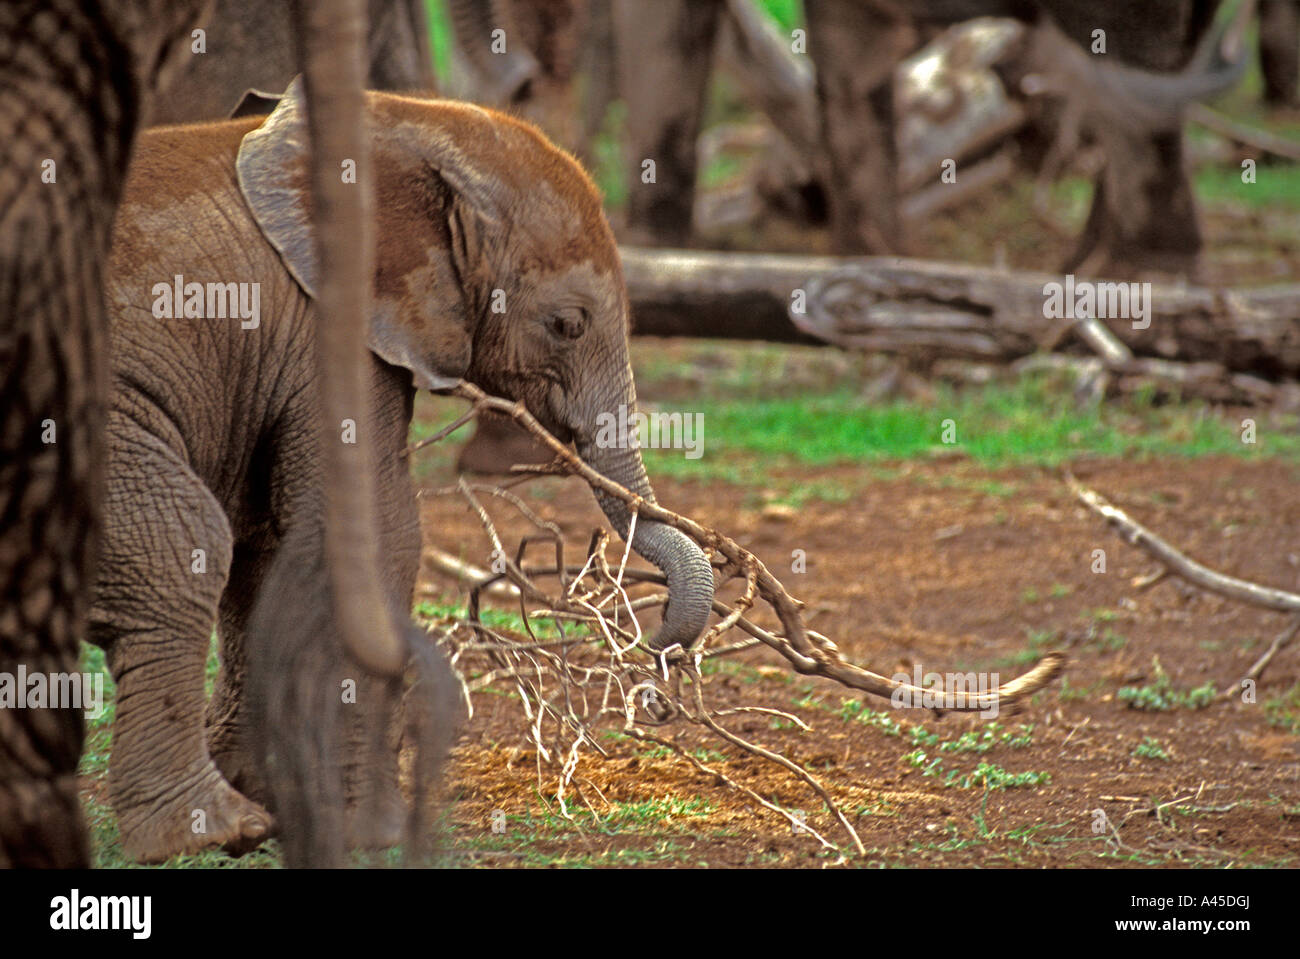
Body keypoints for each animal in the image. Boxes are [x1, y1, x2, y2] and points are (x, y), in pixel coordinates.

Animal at [92, 78, 717, 862]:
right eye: (567, 324)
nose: (653, 656)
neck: (403, 119)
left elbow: (267, 545)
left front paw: (285, 799)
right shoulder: (328, 334)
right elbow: (375, 536)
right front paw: (371, 831)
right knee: (178, 549)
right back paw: (210, 832)